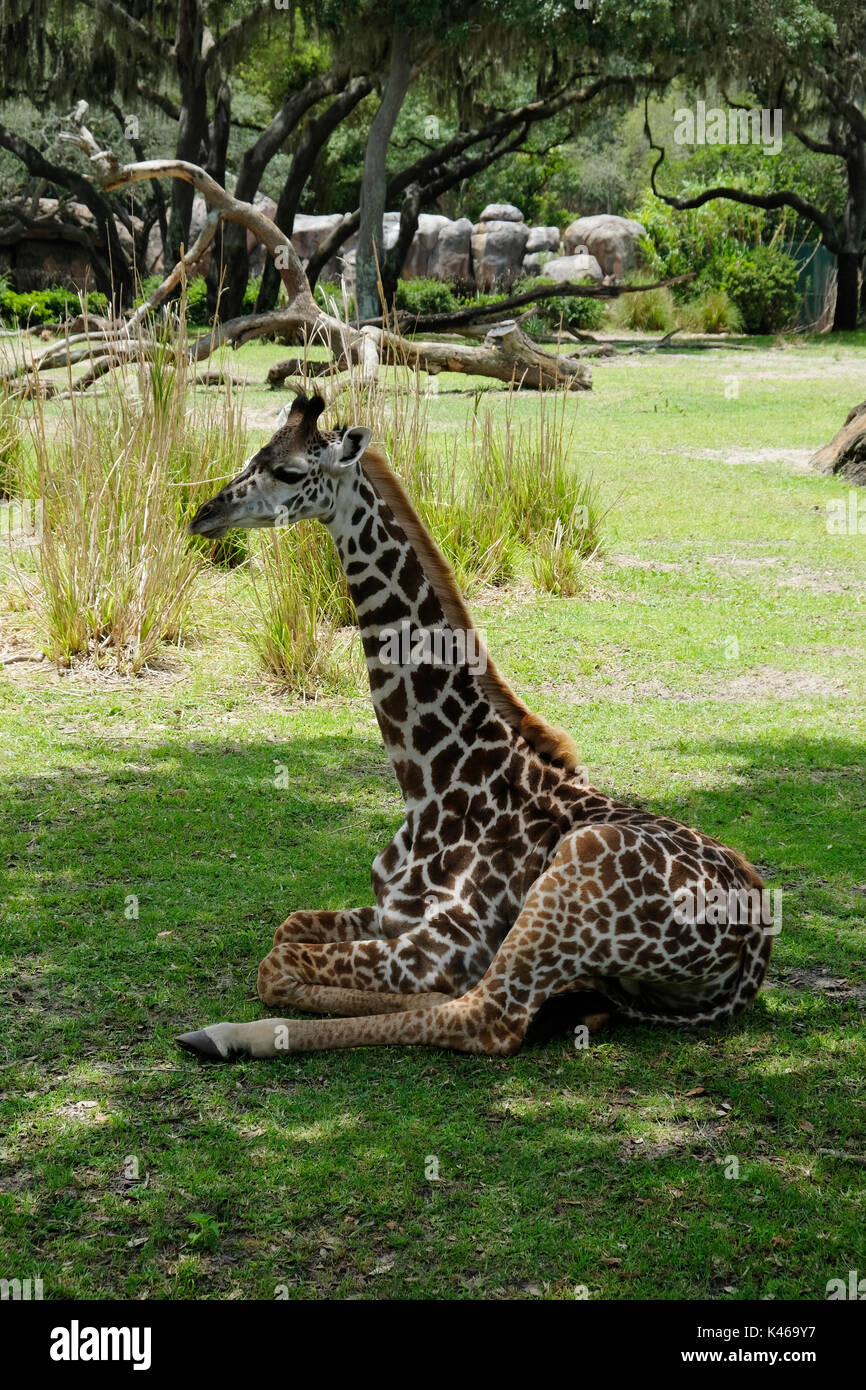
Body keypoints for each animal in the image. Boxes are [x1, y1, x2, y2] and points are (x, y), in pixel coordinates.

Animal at [177, 392, 773, 1061]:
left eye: (288, 471)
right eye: (253, 454)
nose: (203, 515)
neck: (431, 781)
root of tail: (752, 956)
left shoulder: (448, 939)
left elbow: (277, 963)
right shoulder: (390, 912)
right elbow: (288, 929)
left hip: (572, 882)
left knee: (487, 1016)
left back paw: (225, 1036)